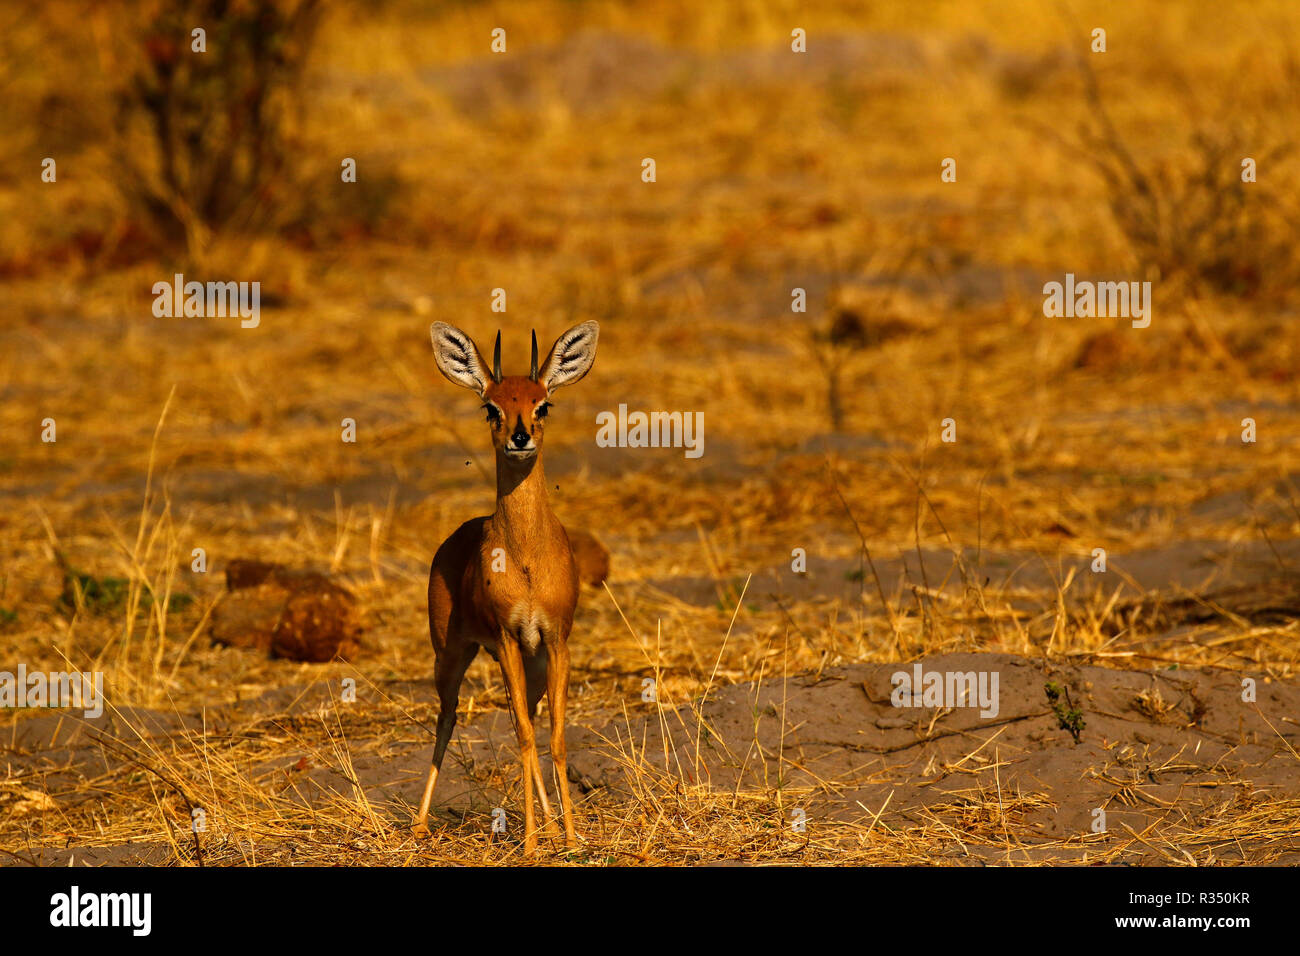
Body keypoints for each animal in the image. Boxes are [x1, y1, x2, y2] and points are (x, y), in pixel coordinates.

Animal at [413, 320, 599, 853]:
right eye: (491, 406)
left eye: (543, 404)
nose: (519, 437)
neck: (527, 558)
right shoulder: (510, 638)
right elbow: (523, 738)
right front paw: (534, 843)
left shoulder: (554, 641)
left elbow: (552, 737)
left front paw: (570, 838)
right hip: (452, 653)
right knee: (448, 717)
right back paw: (419, 824)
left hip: (521, 660)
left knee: (527, 718)